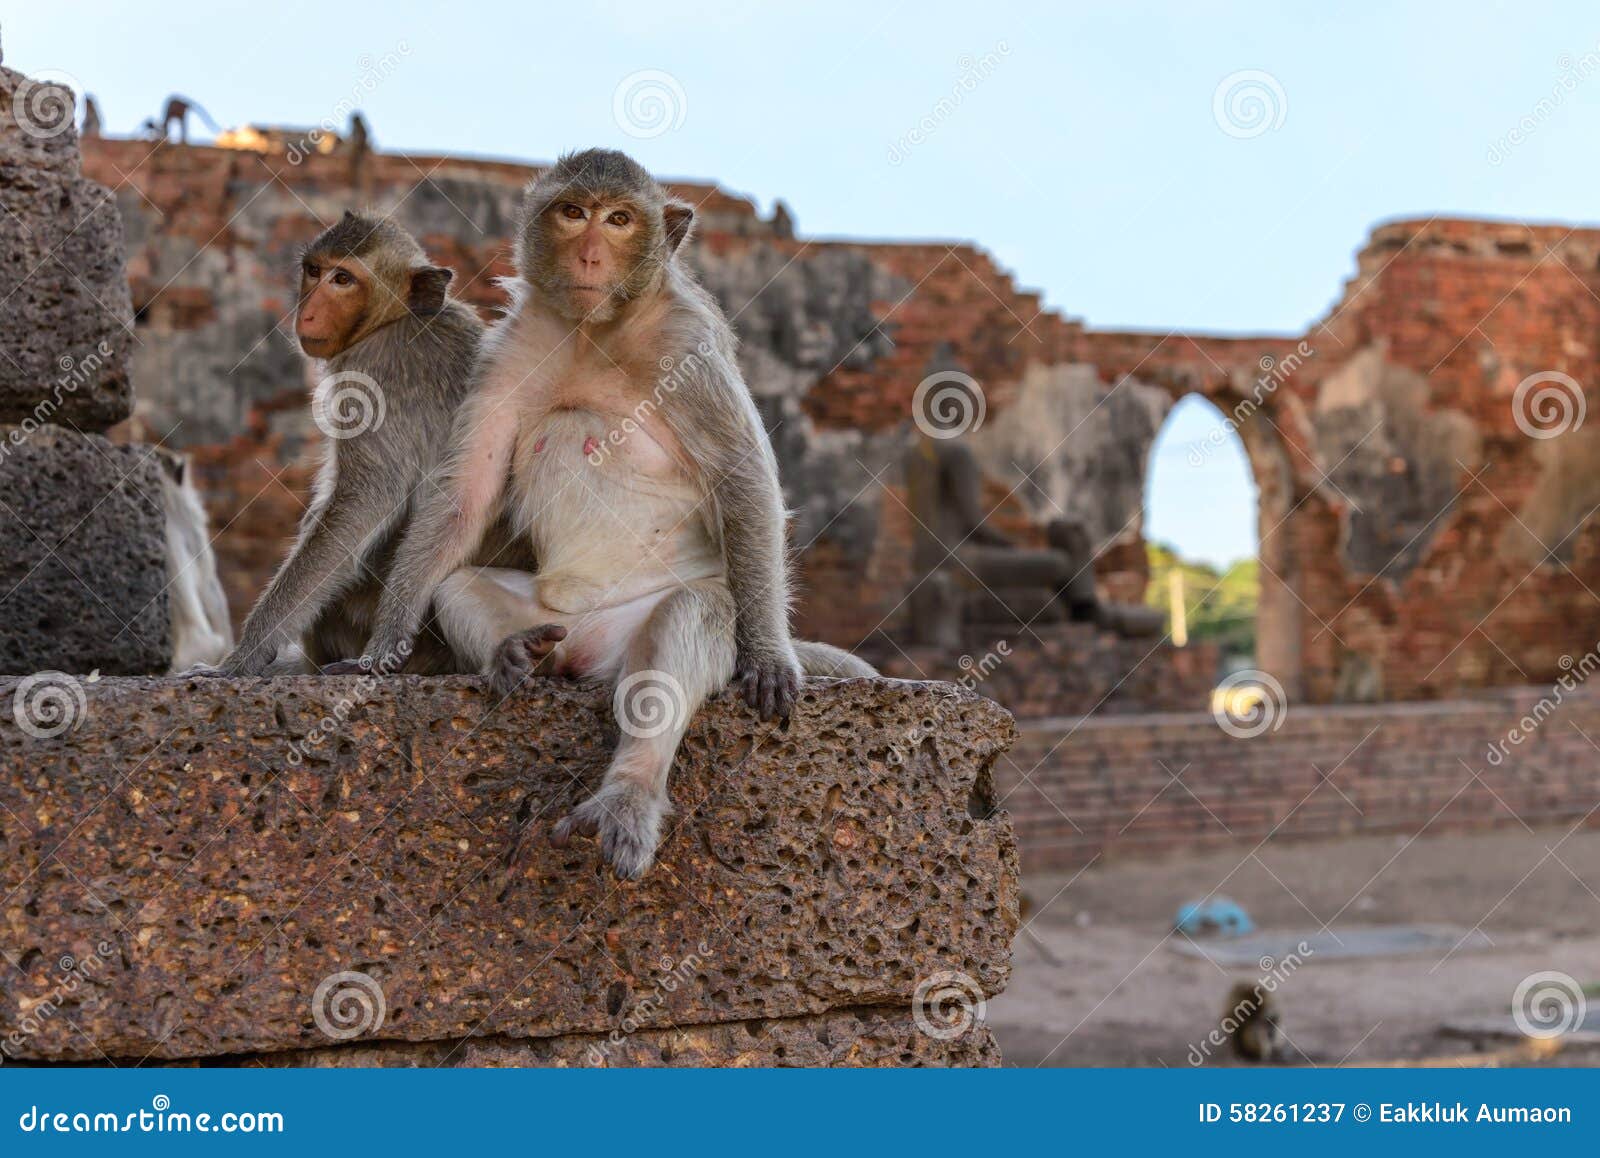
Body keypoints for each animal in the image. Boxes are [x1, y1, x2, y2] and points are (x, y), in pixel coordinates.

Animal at [196, 211, 532, 678]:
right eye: (314, 270)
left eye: (343, 279)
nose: (307, 313)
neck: (398, 317)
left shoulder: (371, 371)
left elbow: (367, 501)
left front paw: (246, 654)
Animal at [350, 149, 876, 879]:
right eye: (574, 213)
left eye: (620, 219)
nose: (591, 254)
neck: (594, 329)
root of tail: (588, 650)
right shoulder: (508, 347)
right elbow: (467, 492)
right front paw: (386, 643)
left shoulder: (686, 344)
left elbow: (741, 476)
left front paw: (771, 655)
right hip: (558, 621)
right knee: (459, 586)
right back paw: (518, 656)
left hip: (646, 622)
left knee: (690, 620)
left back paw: (629, 795)